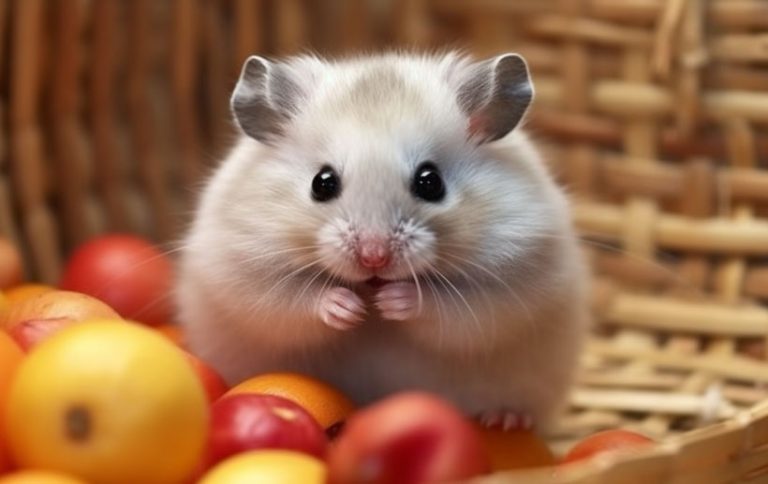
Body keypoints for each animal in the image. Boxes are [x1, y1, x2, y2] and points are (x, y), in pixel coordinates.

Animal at [175, 51, 590, 430]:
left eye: (430, 181)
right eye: (322, 183)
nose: (374, 258)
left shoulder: (511, 278)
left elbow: (450, 309)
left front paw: (392, 301)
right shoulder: (243, 271)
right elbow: (292, 303)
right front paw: (349, 308)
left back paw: (505, 420)